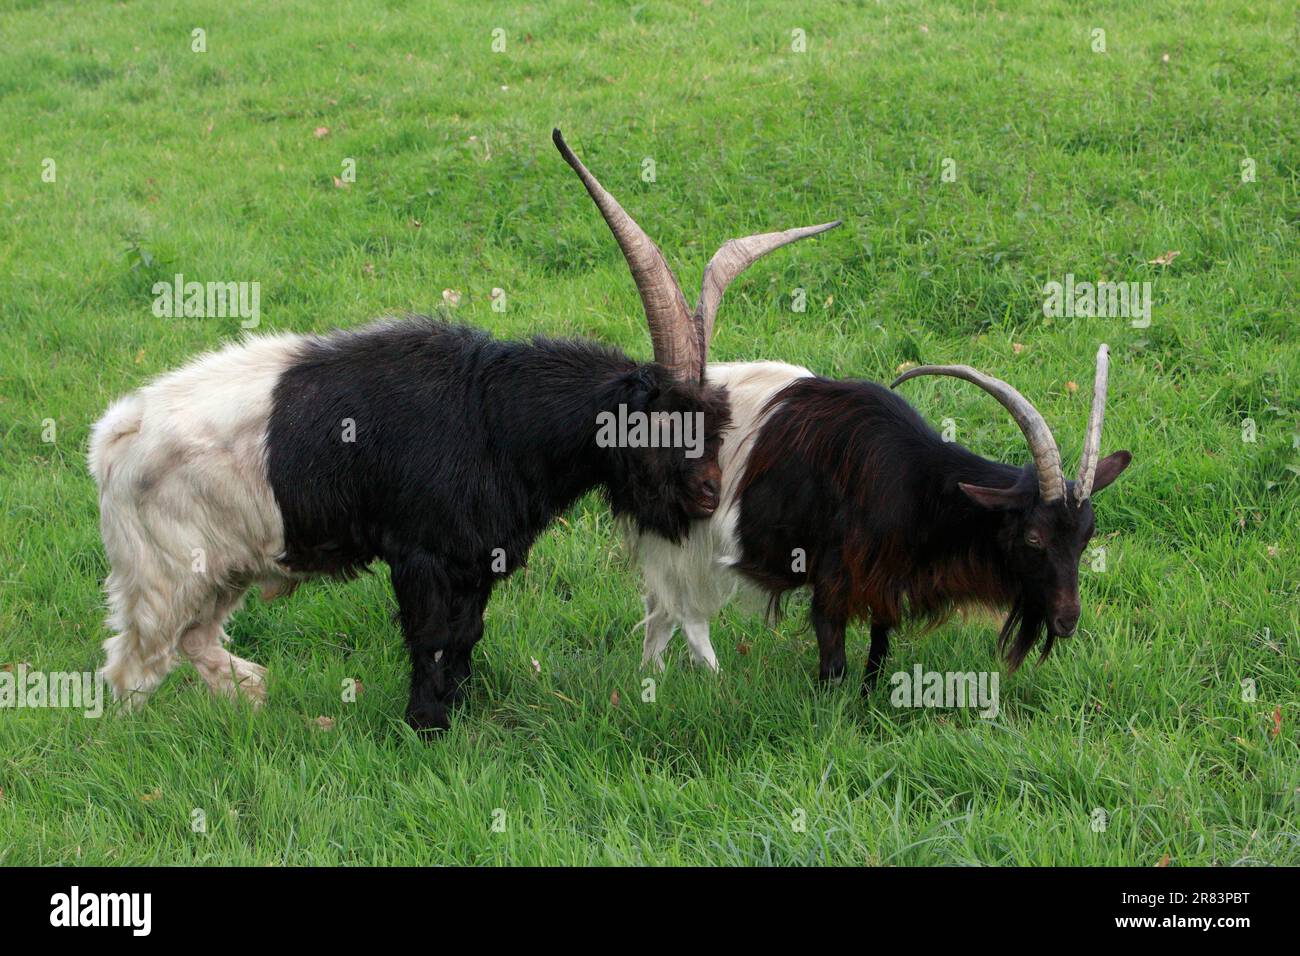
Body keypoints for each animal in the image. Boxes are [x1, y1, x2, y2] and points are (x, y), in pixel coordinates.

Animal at [88, 130, 829, 732]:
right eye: (655, 424)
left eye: (719, 422)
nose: (707, 497)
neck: (495, 416)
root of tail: (113, 441)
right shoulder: (423, 558)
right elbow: (432, 639)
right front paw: (427, 728)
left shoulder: (478, 560)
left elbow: (465, 638)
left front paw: (457, 711)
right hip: (164, 577)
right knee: (131, 668)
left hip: (224, 570)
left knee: (191, 643)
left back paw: (251, 692)